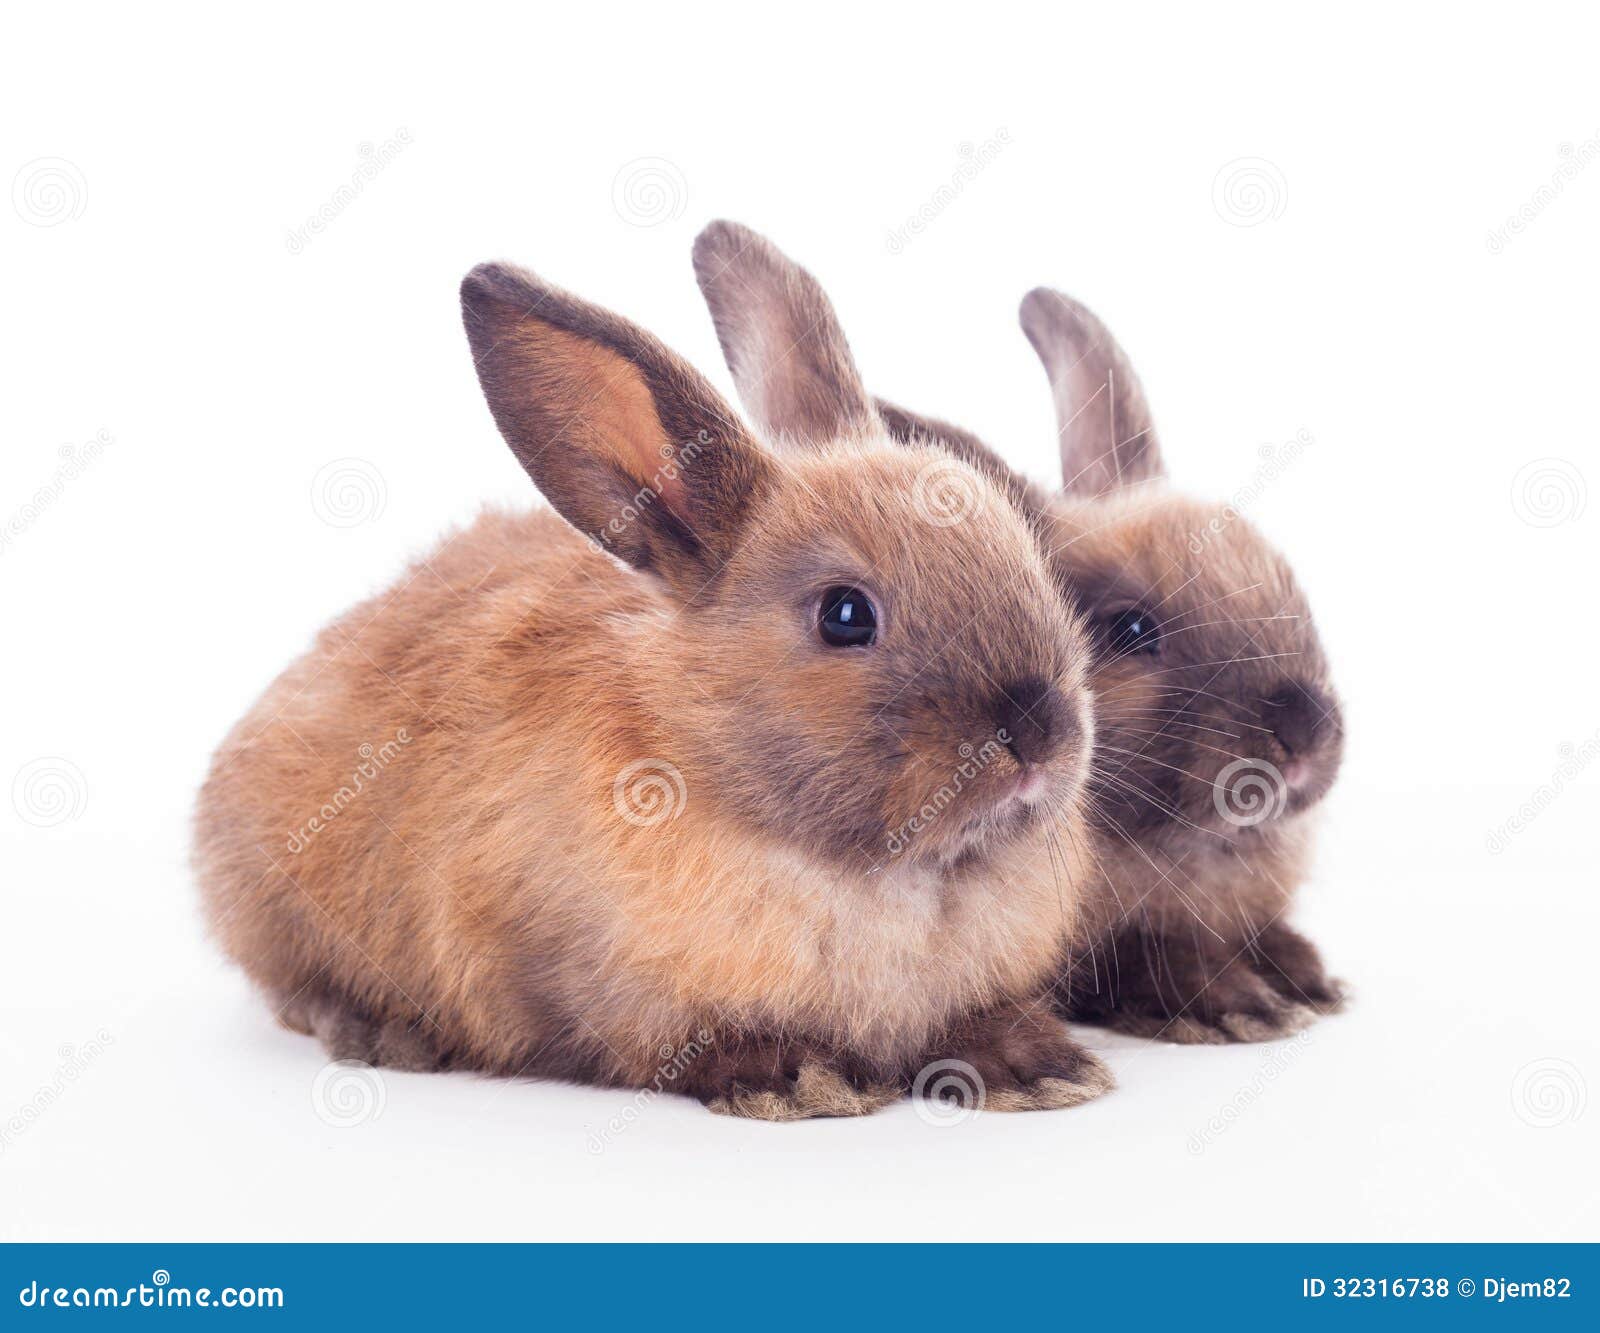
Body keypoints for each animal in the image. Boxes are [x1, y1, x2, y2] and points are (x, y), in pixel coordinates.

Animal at [191, 246, 1116, 1121]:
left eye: (1027, 558)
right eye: (845, 614)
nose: (1041, 731)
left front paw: (1043, 1068)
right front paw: (799, 1079)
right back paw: (385, 1032)